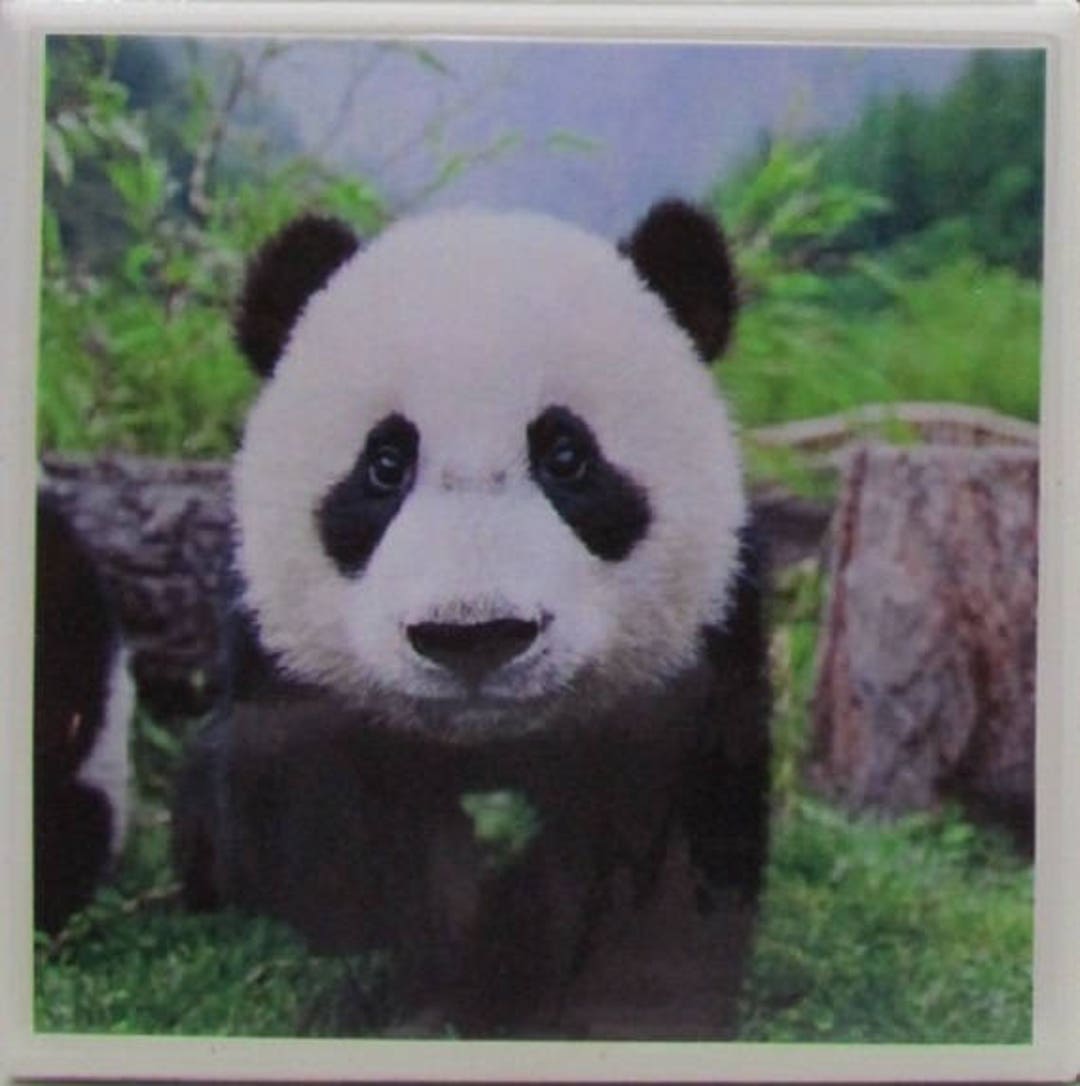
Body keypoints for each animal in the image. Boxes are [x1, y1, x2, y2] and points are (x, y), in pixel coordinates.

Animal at [173, 199, 771, 1039]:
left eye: (567, 457)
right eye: (385, 465)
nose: (473, 637)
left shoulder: (699, 647)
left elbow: (675, 835)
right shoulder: (284, 660)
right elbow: (336, 827)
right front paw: (425, 991)